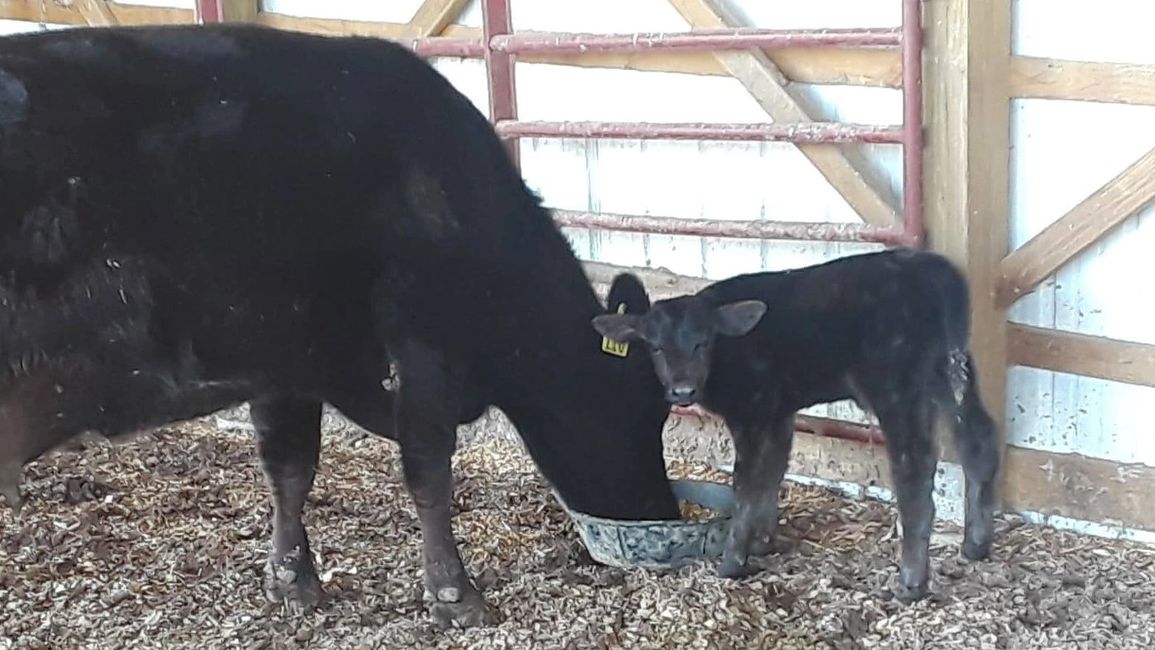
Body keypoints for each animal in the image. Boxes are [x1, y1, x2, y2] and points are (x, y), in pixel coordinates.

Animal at [0, 24, 678, 628]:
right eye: (647, 408)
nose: (665, 513)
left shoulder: (282, 358)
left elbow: (290, 469)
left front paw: (291, 580)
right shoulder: (422, 340)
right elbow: (428, 469)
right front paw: (454, 596)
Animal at [591, 248, 1000, 602]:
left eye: (703, 342)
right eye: (655, 346)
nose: (681, 390)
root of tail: (933, 271)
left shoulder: (752, 413)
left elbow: (747, 482)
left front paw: (733, 560)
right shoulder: (778, 413)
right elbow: (773, 473)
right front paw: (762, 541)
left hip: (898, 388)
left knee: (914, 472)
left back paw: (911, 582)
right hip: (953, 372)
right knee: (978, 443)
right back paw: (975, 545)